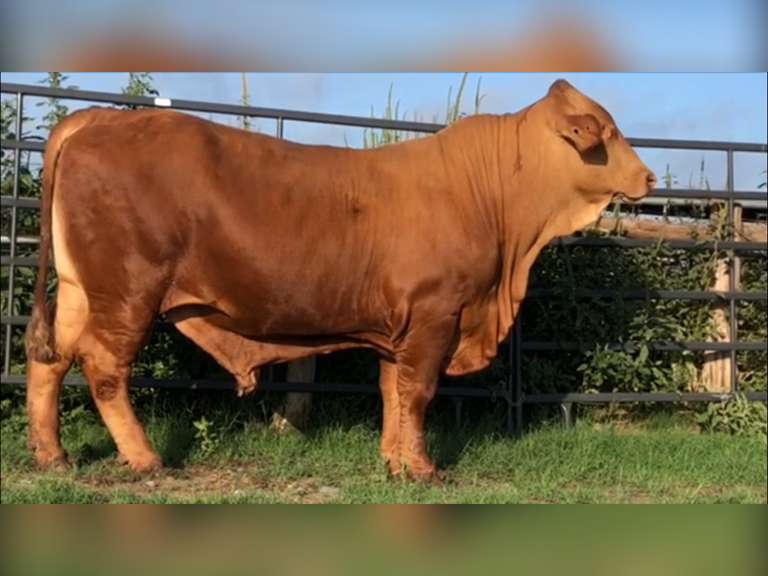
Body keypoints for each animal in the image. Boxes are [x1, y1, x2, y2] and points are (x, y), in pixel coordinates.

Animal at [25, 79, 655, 481]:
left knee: (50, 359)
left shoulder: (399, 327)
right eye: (607, 130)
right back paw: (144, 459)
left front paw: (393, 461)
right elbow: (418, 393)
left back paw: (53, 457)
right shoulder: (434, 315)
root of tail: (95, 119)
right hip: (128, 290)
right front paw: (422, 469)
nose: (649, 176)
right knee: (104, 367)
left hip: (81, 290)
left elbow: (393, 392)